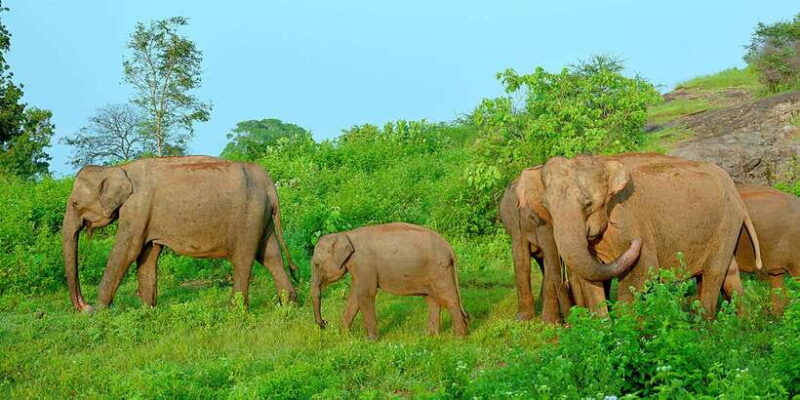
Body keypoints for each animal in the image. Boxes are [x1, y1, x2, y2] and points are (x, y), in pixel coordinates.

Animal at [62, 156, 298, 312]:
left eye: (75, 203)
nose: (83, 306)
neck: (118, 168)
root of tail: (269, 185)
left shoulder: (137, 208)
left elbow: (126, 251)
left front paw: (98, 313)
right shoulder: (146, 216)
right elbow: (147, 255)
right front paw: (148, 311)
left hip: (248, 217)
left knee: (243, 260)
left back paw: (234, 311)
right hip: (262, 218)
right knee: (270, 255)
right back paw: (289, 305)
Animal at [311, 222, 469, 340]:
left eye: (317, 265)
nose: (324, 323)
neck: (345, 234)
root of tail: (450, 248)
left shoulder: (363, 263)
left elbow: (365, 294)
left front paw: (370, 341)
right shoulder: (358, 267)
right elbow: (355, 295)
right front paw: (344, 335)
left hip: (439, 270)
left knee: (448, 298)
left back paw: (458, 337)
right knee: (431, 299)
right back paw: (428, 335)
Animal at [518, 153, 762, 317]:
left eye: (588, 203)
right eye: (545, 206)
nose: (636, 243)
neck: (604, 161)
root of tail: (733, 187)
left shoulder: (631, 219)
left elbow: (641, 273)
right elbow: (590, 280)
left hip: (727, 220)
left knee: (714, 272)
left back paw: (705, 327)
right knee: (729, 272)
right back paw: (743, 321)